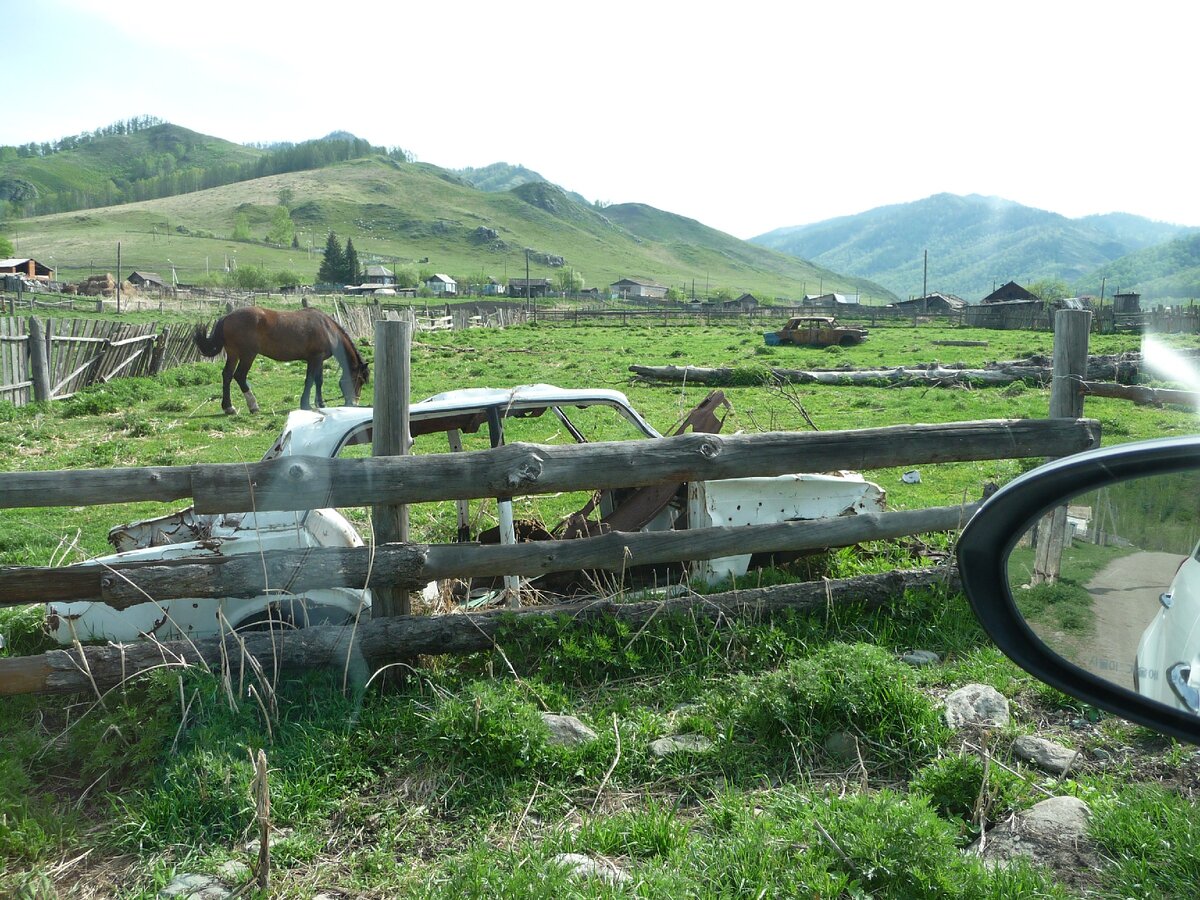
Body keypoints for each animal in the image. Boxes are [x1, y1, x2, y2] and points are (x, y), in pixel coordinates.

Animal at [192, 304, 367, 415]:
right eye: (360, 380)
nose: (355, 403)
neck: (327, 329)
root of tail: (227, 317)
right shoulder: (315, 358)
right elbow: (311, 380)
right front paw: (306, 404)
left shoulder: (317, 360)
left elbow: (318, 380)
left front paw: (320, 403)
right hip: (248, 354)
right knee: (239, 376)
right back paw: (253, 406)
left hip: (234, 354)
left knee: (227, 375)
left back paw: (229, 407)